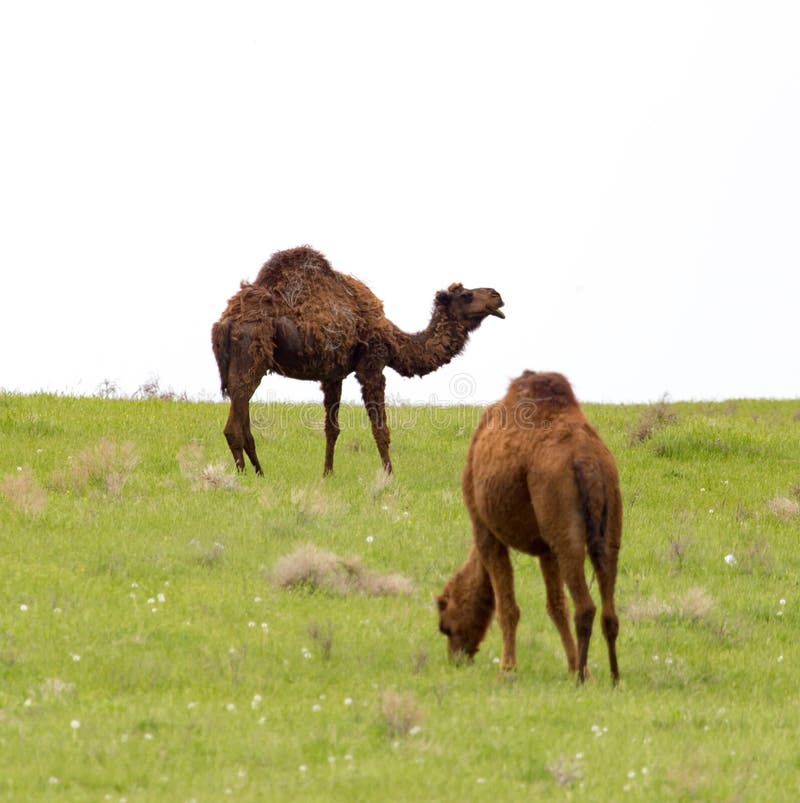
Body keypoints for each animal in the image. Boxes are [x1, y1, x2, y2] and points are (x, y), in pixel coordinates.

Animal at [211, 246, 504, 476]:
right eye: (466, 295)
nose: (497, 295)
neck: (393, 338)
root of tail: (225, 322)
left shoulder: (332, 374)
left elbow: (331, 428)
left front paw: (327, 474)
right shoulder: (372, 365)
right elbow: (380, 429)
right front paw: (389, 475)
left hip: (244, 366)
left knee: (243, 418)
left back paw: (260, 472)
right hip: (250, 359)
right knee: (233, 426)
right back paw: (244, 476)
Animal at [437, 371, 622, 684]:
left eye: (445, 625)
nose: (456, 658)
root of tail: (587, 462)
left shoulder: (486, 530)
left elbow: (507, 607)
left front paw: (507, 669)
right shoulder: (546, 549)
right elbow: (556, 605)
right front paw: (573, 664)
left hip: (565, 526)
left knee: (586, 607)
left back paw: (581, 680)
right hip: (609, 522)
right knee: (609, 607)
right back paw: (613, 677)